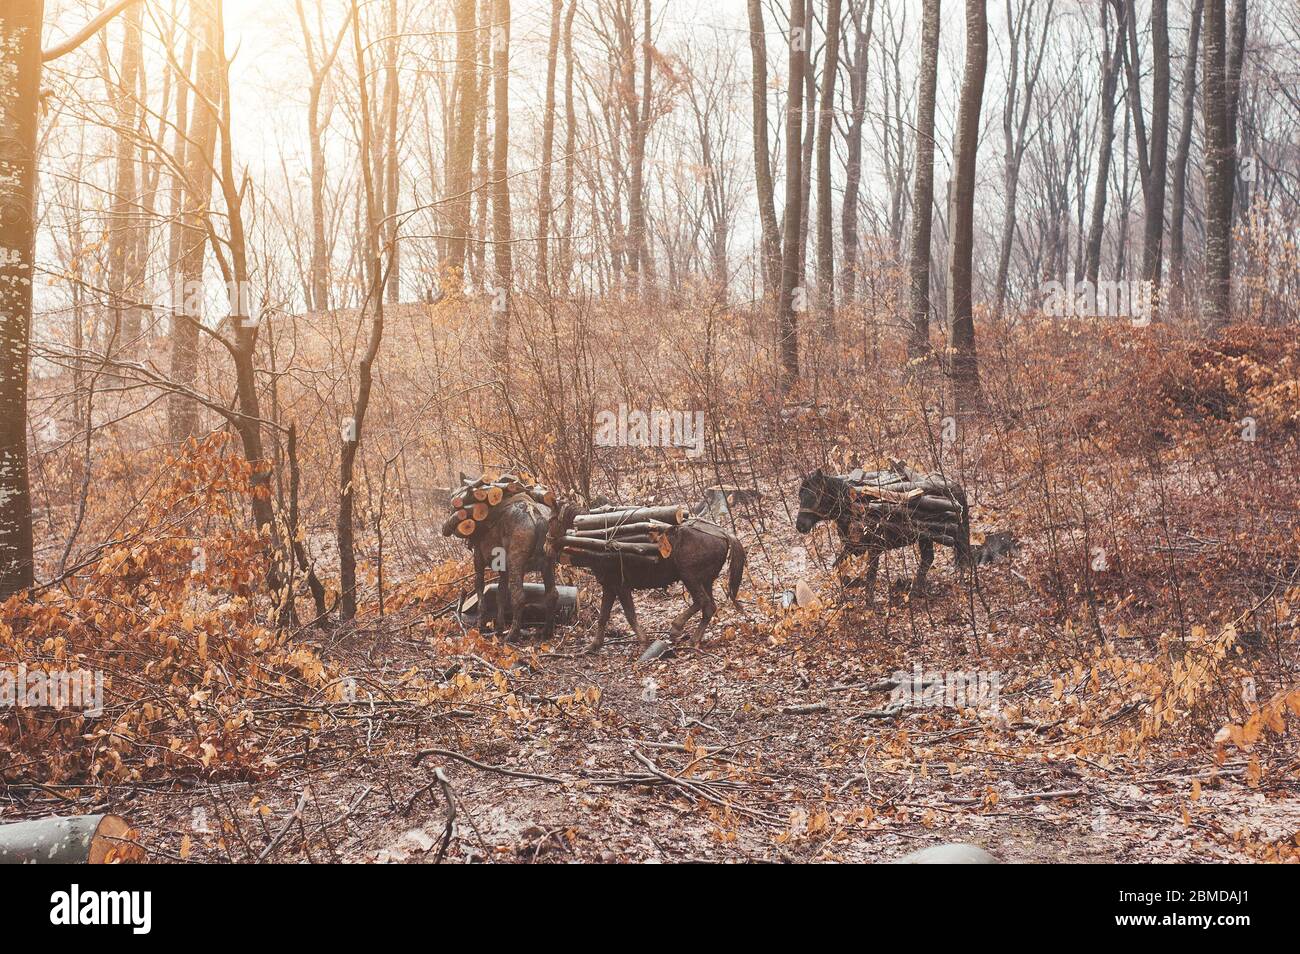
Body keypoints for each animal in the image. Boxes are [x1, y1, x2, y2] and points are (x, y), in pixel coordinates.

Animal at [549, 504, 746, 653]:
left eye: (553, 521)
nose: (547, 548)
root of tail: (724, 534)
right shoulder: (609, 586)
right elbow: (603, 616)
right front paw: (593, 646)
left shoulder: (620, 586)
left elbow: (629, 615)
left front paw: (644, 642)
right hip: (704, 580)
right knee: (707, 606)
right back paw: (684, 633)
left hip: (690, 577)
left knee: (705, 604)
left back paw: (685, 635)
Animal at [794, 467, 972, 595]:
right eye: (800, 495)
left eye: (815, 494)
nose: (800, 526)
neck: (853, 507)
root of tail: (953, 484)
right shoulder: (851, 547)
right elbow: (839, 567)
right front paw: (850, 584)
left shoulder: (875, 549)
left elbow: (870, 576)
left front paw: (869, 604)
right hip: (925, 537)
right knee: (928, 559)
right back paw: (917, 589)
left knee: (959, 556)